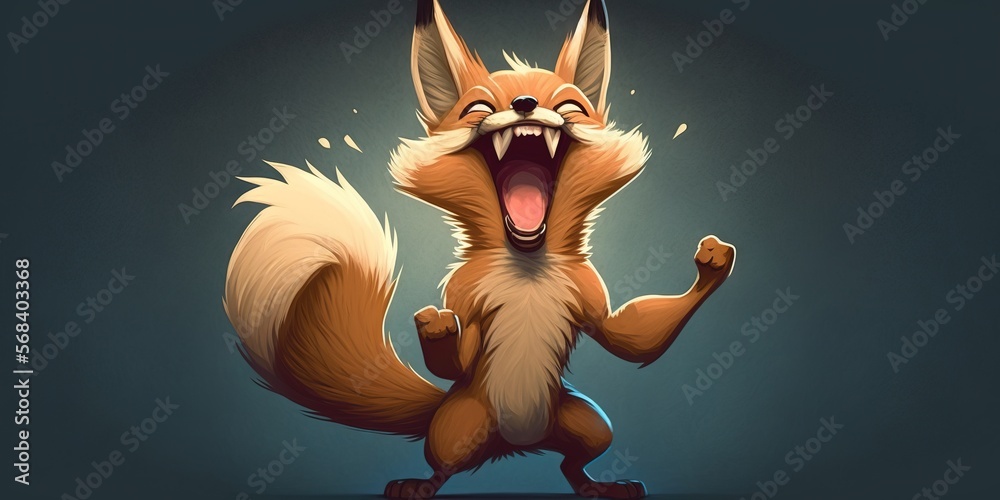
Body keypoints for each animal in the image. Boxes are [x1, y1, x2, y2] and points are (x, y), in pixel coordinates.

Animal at [223, 1, 736, 498]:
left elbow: (626, 337)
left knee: (571, 461)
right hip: (457, 425)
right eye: (479, 108)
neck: (528, 262)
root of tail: (515, 443)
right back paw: (419, 485)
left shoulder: (590, 297)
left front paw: (713, 264)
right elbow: (459, 355)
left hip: (589, 421)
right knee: (446, 464)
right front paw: (436, 329)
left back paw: (595, 485)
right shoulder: (465, 297)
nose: (526, 104)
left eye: (570, 106)